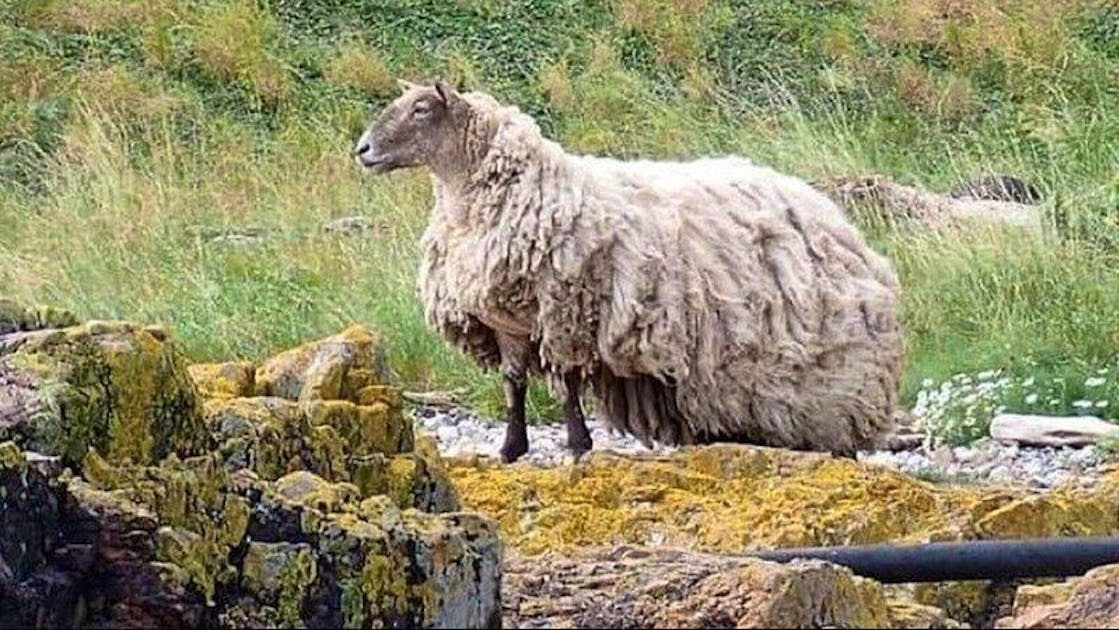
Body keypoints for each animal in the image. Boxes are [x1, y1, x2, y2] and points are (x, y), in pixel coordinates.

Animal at [354, 79, 904, 463]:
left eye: (421, 109)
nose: (362, 149)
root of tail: (840, 223)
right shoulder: (506, 321)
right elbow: (513, 385)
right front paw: (511, 449)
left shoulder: (564, 312)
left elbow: (566, 384)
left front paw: (578, 445)